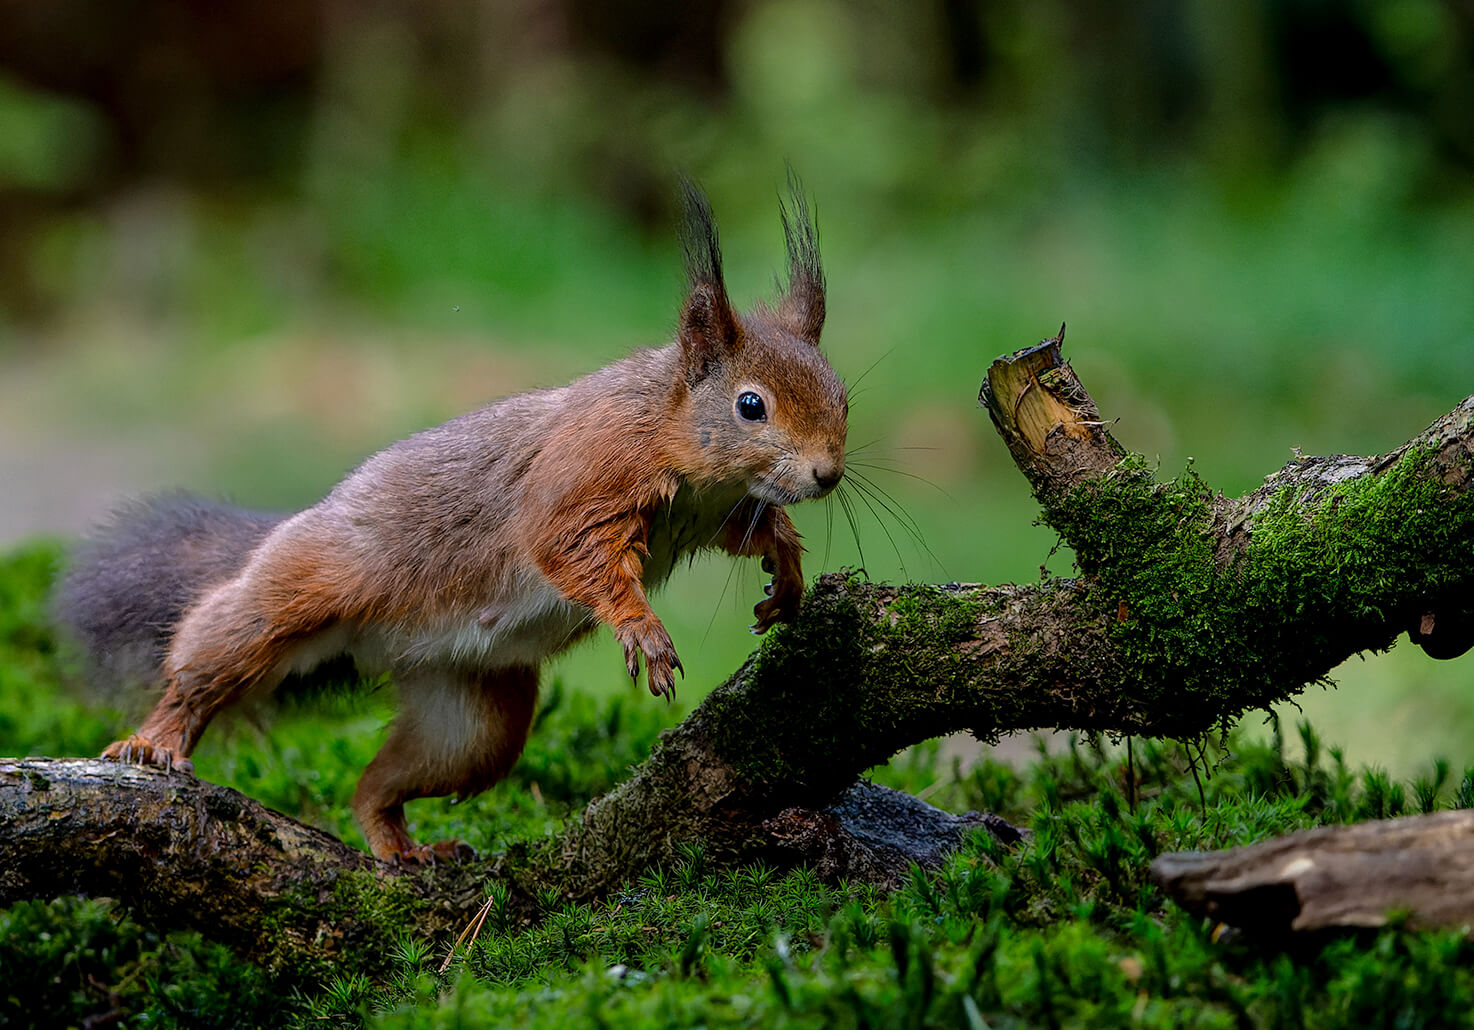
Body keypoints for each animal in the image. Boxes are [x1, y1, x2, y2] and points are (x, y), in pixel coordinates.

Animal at [52, 179, 848, 864]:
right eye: (751, 405)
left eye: (841, 392)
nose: (827, 474)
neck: (676, 436)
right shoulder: (589, 471)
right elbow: (569, 547)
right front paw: (643, 632)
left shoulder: (719, 509)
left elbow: (754, 532)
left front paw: (787, 574)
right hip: (301, 587)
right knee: (213, 651)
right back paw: (155, 740)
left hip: (470, 718)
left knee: (384, 780)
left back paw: (401, 846)